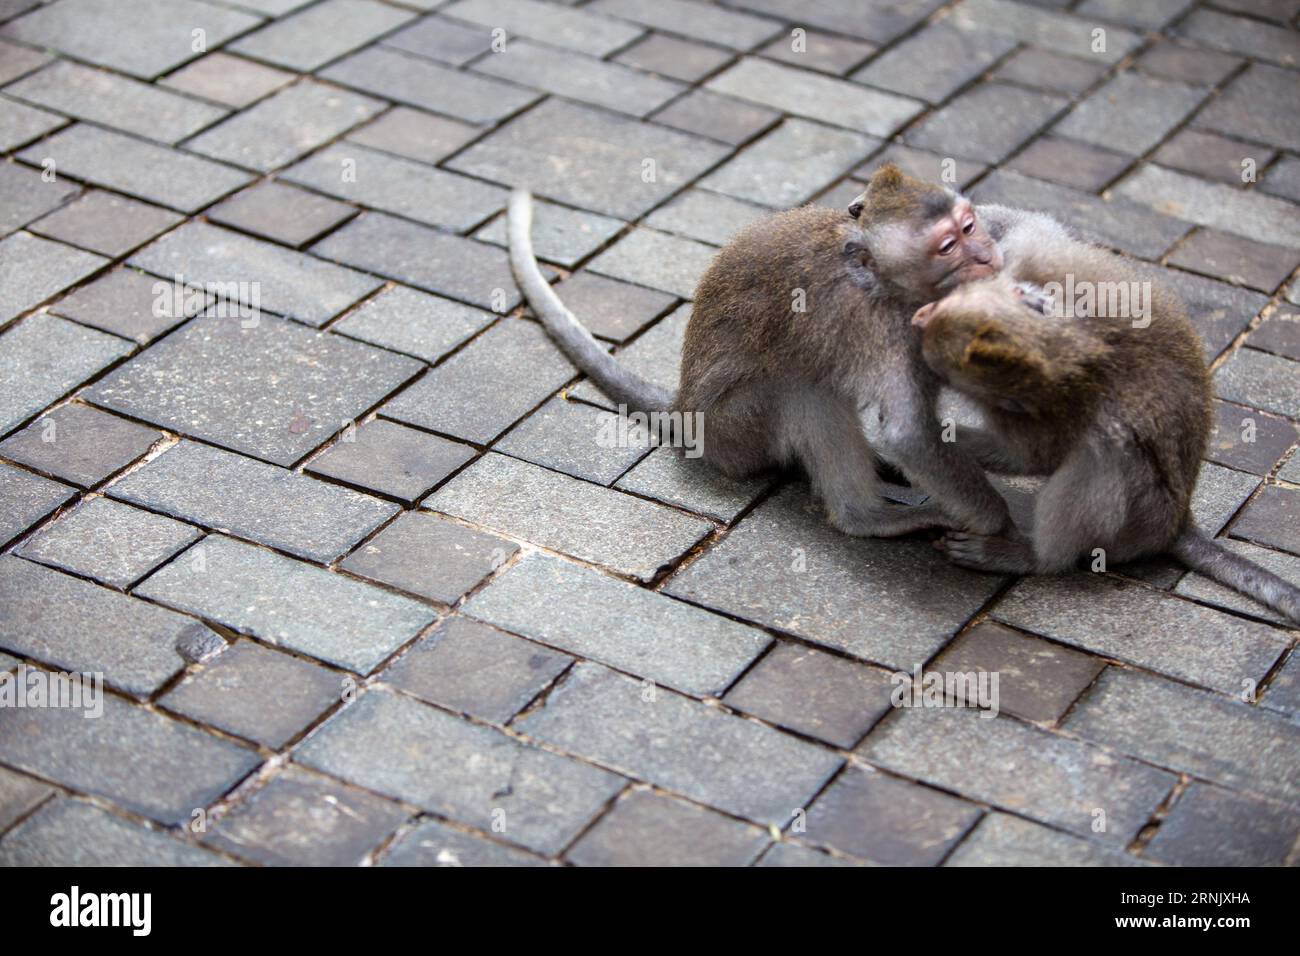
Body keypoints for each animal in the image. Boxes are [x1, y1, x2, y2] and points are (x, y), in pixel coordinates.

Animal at [508, 163, 1019, 539]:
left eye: (970, 226)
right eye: (949, 245)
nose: (985, 254)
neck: (885, 284)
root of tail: (683, 409)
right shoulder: (881, 330)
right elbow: (910, 433)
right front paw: (997, 522)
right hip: (734, 432)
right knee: (803, 391)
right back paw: (866, 519)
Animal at [912, 255, 1300, 623]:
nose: (923, 319)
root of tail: (1177, 521)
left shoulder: (1048, 402)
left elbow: (1034, 457)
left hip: (1143, 522)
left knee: (1108, 454)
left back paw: (1037, 558)